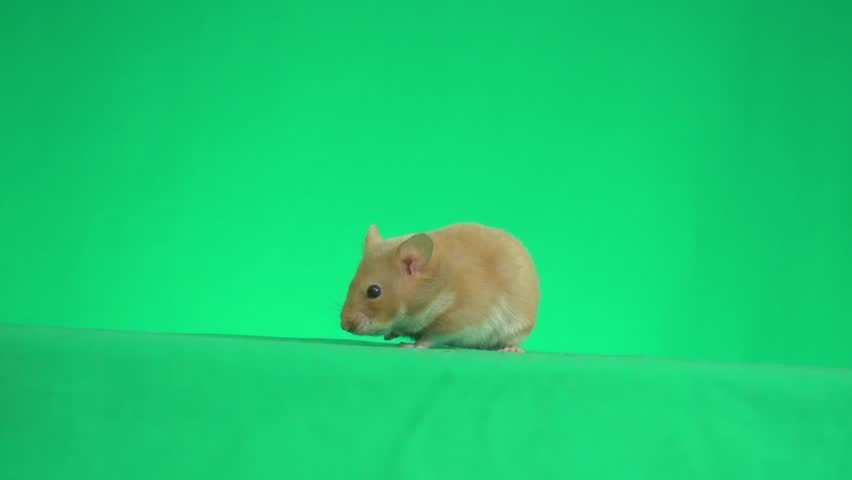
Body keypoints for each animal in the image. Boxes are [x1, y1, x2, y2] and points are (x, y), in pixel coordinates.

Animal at [339, 223, 540, 353]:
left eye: (373, 291)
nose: (344, 326)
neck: (439, 287)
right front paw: (391, 336)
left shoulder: (459, 319)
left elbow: (432, 337)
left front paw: (411, 346)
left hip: (518, 328)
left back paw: (510, 350)